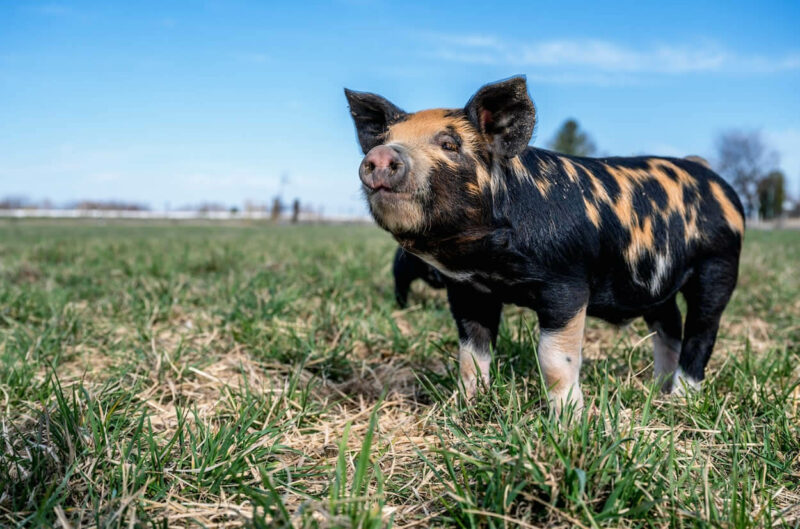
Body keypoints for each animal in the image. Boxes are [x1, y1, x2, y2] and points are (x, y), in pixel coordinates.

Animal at [345, 76, 743, 414]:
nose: (381, 155)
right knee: (669, 326)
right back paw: (657, 391)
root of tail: (711, 176)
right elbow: (471, 355)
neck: (492, 262)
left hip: (719, 265)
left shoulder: (566, 284)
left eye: (449, 144)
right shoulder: (467, 290)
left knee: (701, 332)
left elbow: (554, 360)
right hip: (656, 284)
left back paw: (681, 400)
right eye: (383, 140)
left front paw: (568, 422)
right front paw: (468, 408)